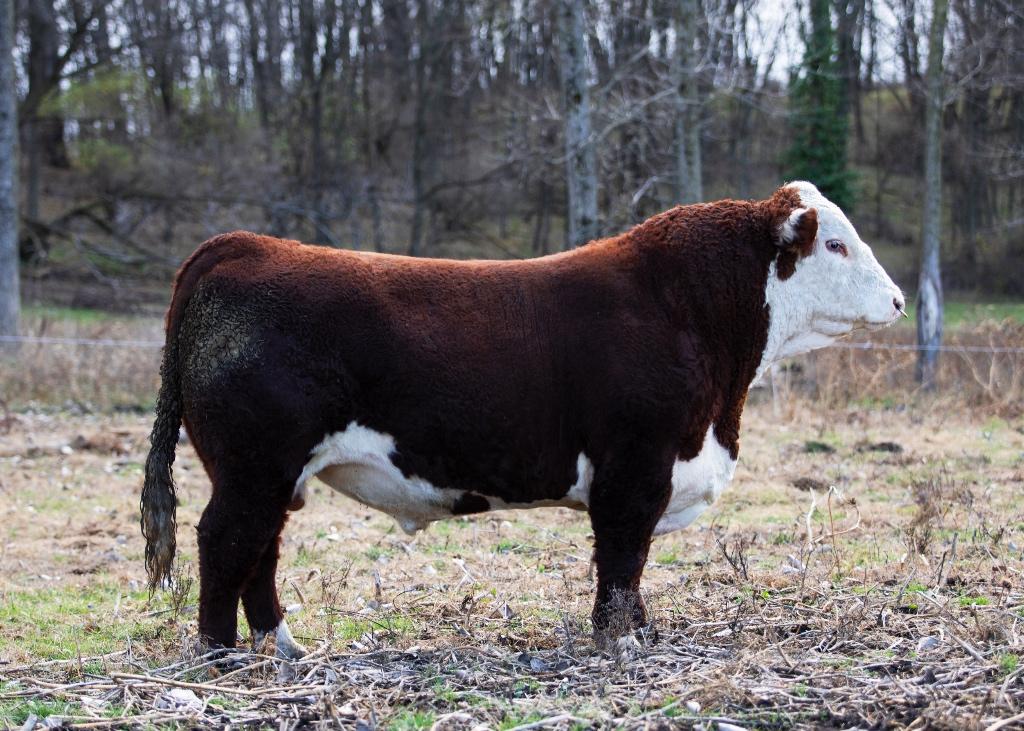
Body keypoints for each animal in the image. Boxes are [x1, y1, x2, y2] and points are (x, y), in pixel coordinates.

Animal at [140, 181, 904, 658]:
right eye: (836, 245)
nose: (898, 299)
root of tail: (245, 243)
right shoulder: (635, 467)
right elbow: (622, 557)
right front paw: (623, 641)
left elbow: (632, 565)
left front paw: (641, 633)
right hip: (255, 465)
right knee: (225, 542)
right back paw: (219, 656)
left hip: (274, 474)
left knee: (260, 549)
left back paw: (282, 645)